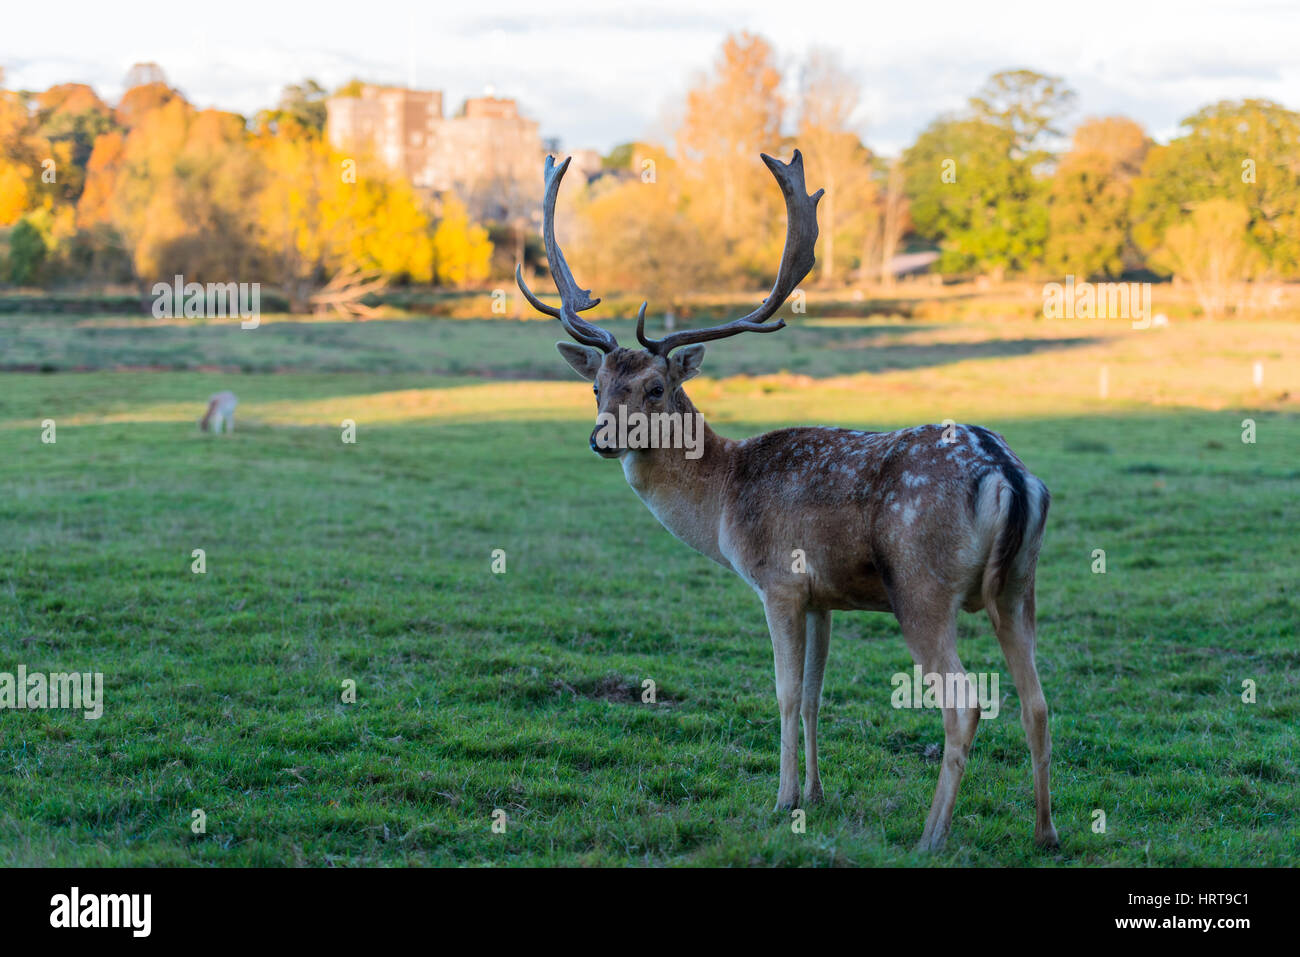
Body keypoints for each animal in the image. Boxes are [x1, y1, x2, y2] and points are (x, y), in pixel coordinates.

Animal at [516, 150, 1058, 851]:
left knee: (964, 702)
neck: (723, 499)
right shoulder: (823, 596)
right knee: (1038, 701)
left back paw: (932, 835)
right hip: (1021, 585)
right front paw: (818, 793)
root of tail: (1005, 474)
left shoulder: (777, 580)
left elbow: (784, 692)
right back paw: (1045, 832)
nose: (601, 439)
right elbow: (816, 694)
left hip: (921, 585)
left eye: (656, 387)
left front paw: (783, 800)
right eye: (596, 388)